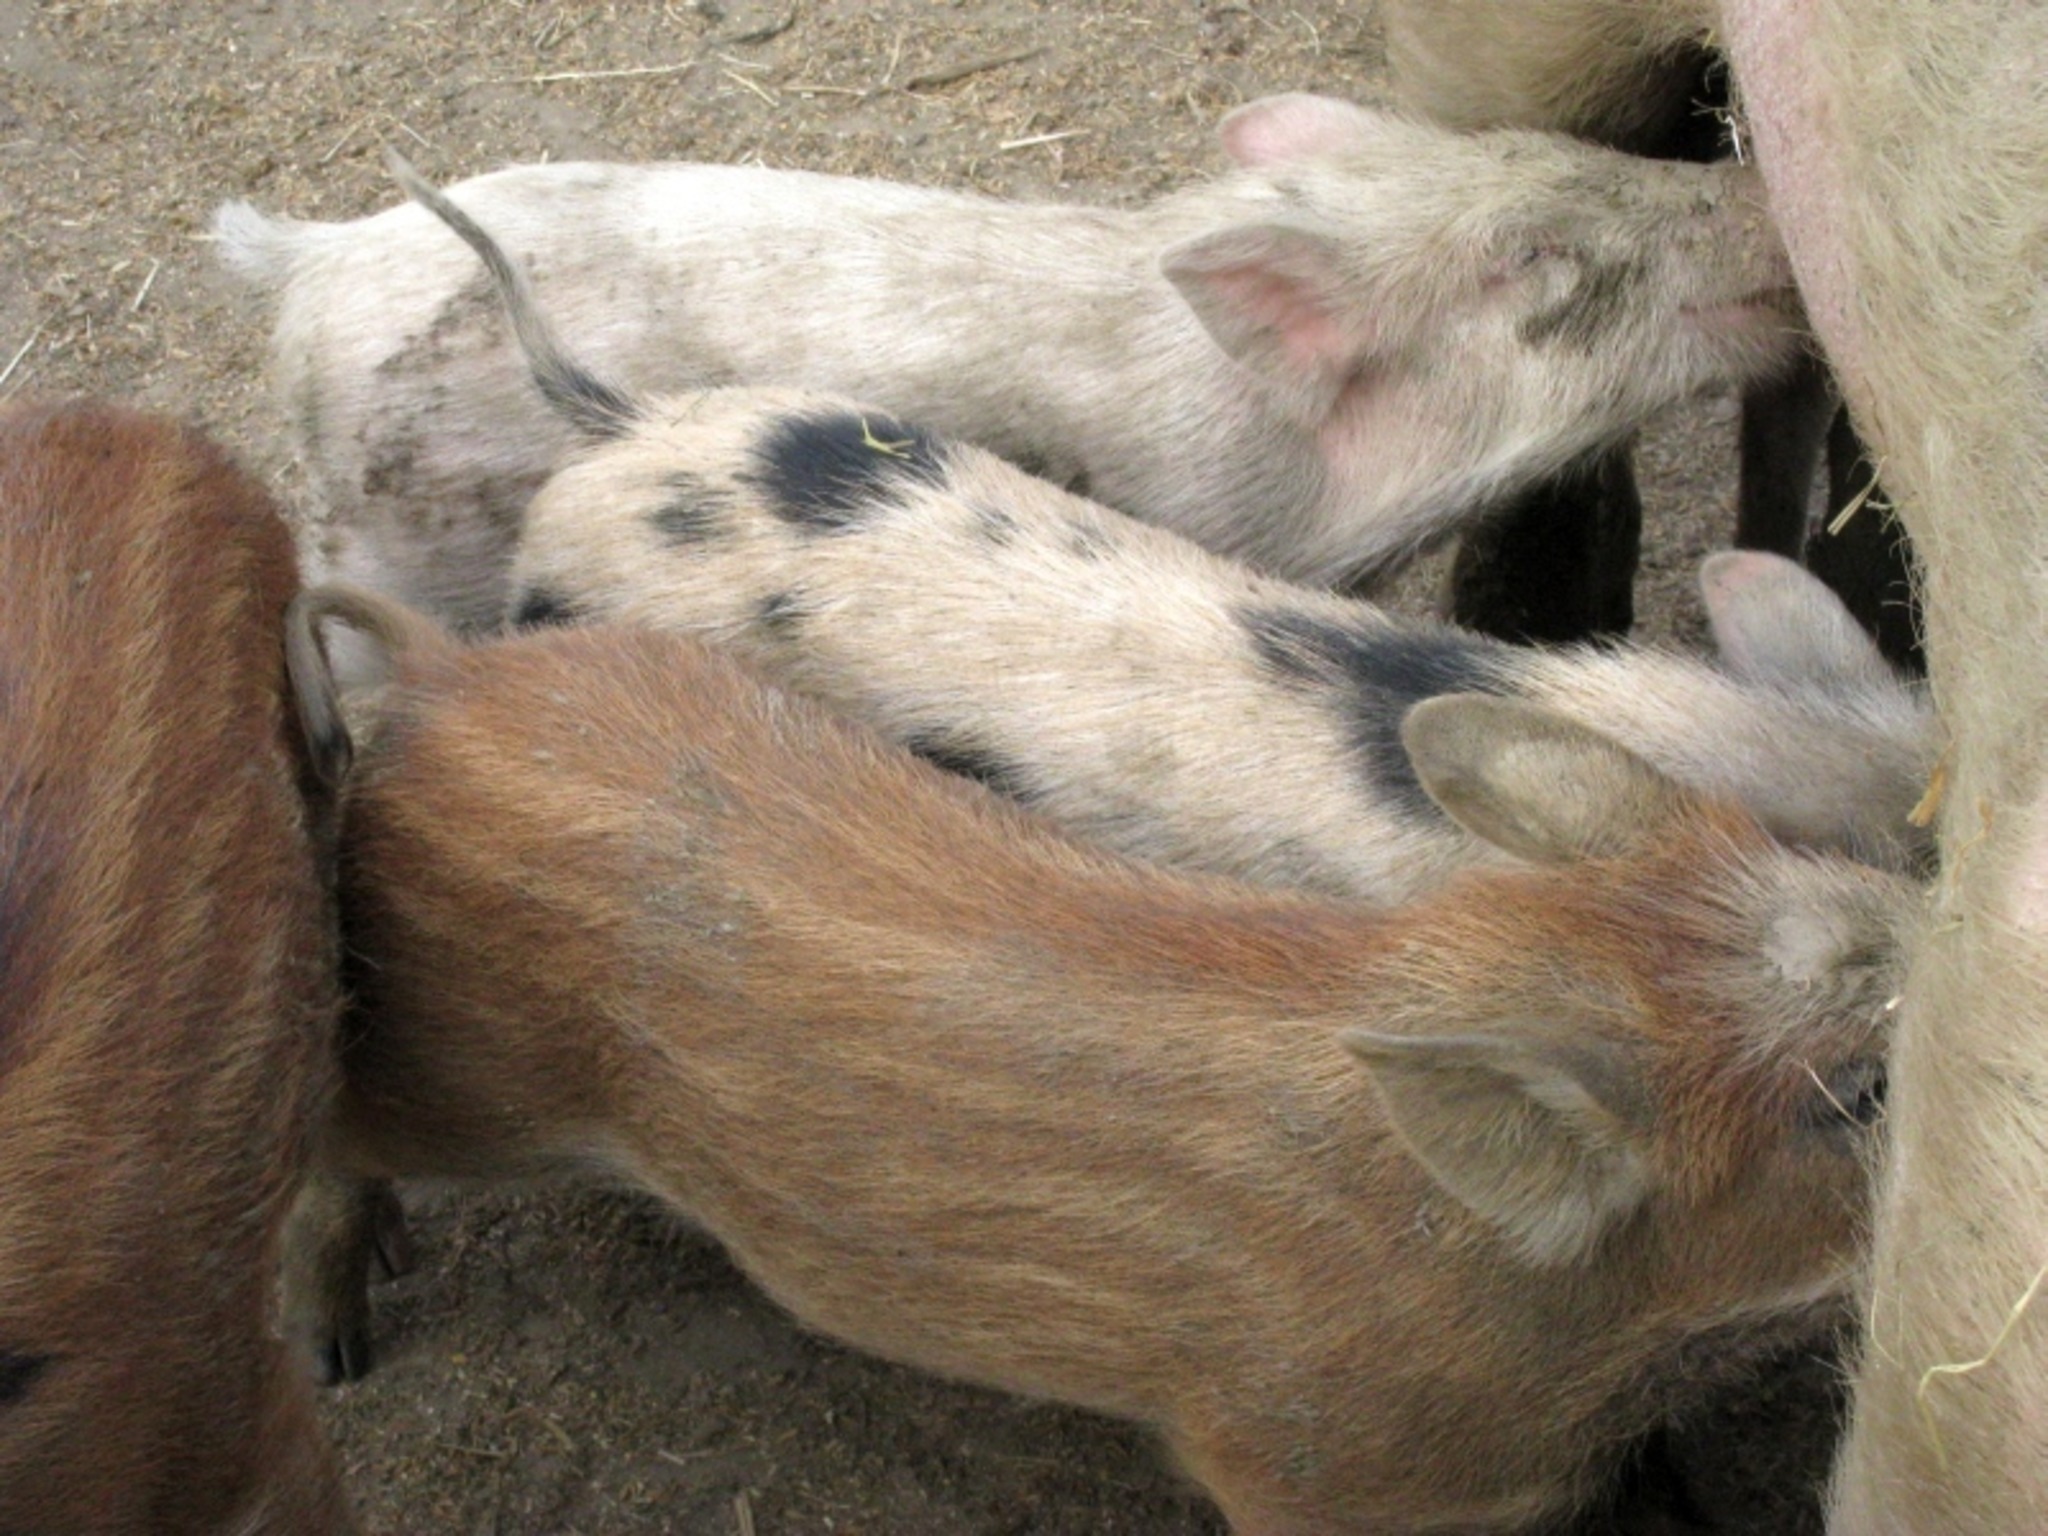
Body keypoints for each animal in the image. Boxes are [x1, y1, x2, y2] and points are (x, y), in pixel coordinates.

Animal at [285, 576, 1914, 1536]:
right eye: (1853, 1100)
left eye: (1832, 860)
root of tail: (435, 680)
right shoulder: (1305, 1481)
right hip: (448, 1062)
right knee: (327, 1131)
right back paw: (338, 1350)